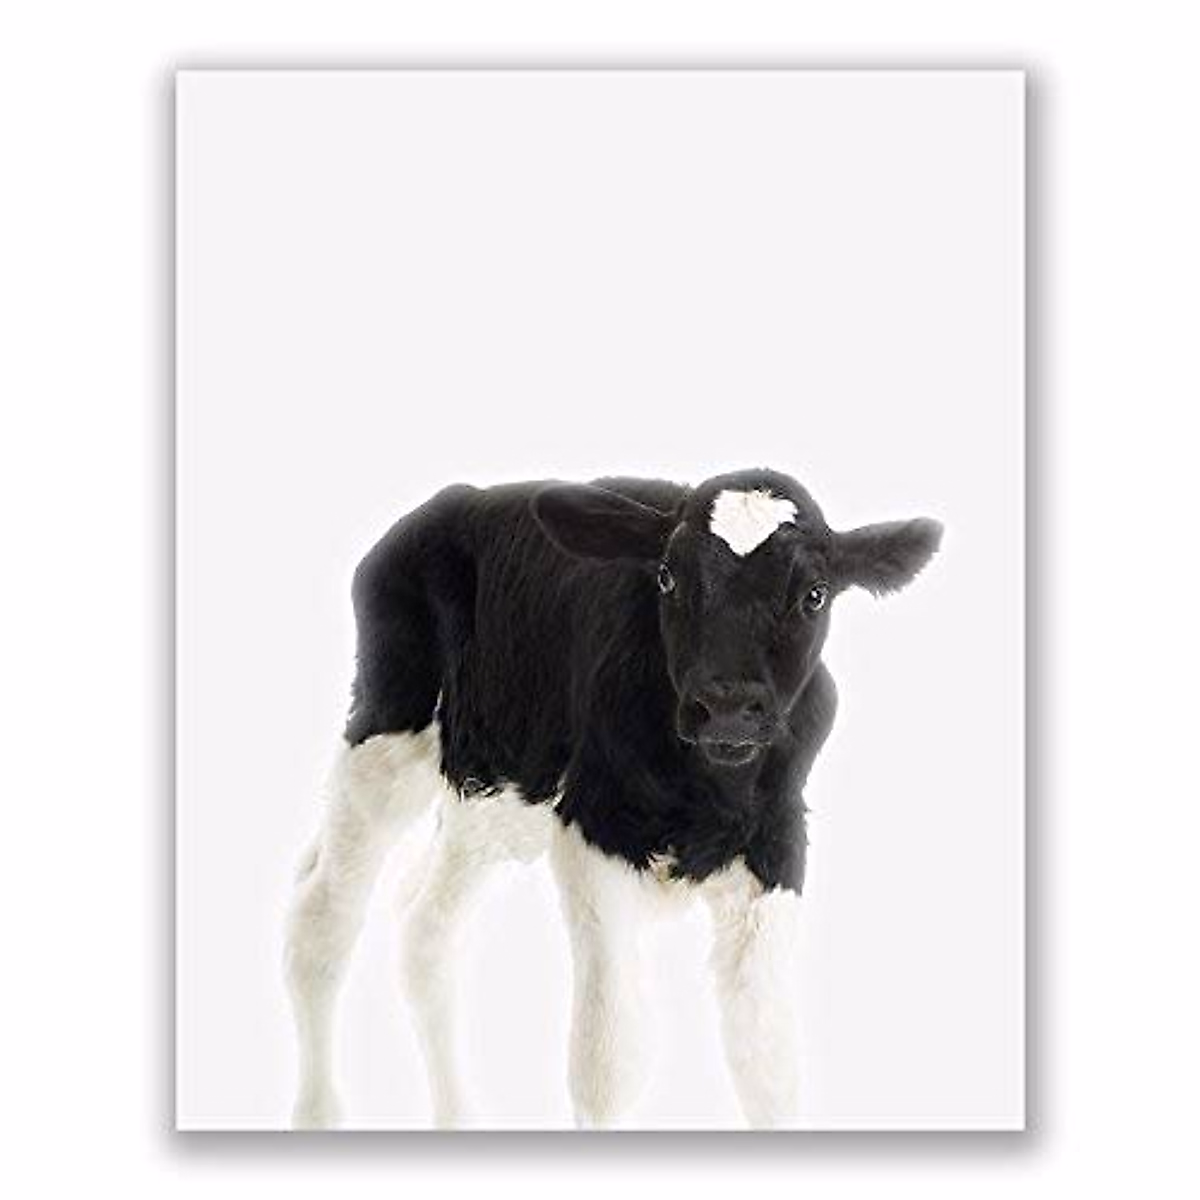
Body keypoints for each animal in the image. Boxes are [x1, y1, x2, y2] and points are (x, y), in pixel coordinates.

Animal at [284, 467, 942, 1129]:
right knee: (322, 918)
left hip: (496, 791)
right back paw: (317, 1114)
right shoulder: (595, 829)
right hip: (388, 724)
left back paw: (459, 1119)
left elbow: (767, 1062)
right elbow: (609, 1060)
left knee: (427, 931)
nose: (727, 707)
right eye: (668, 577)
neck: (710, 790)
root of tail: (451, 500)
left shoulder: (777, 847)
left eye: (814, 594)